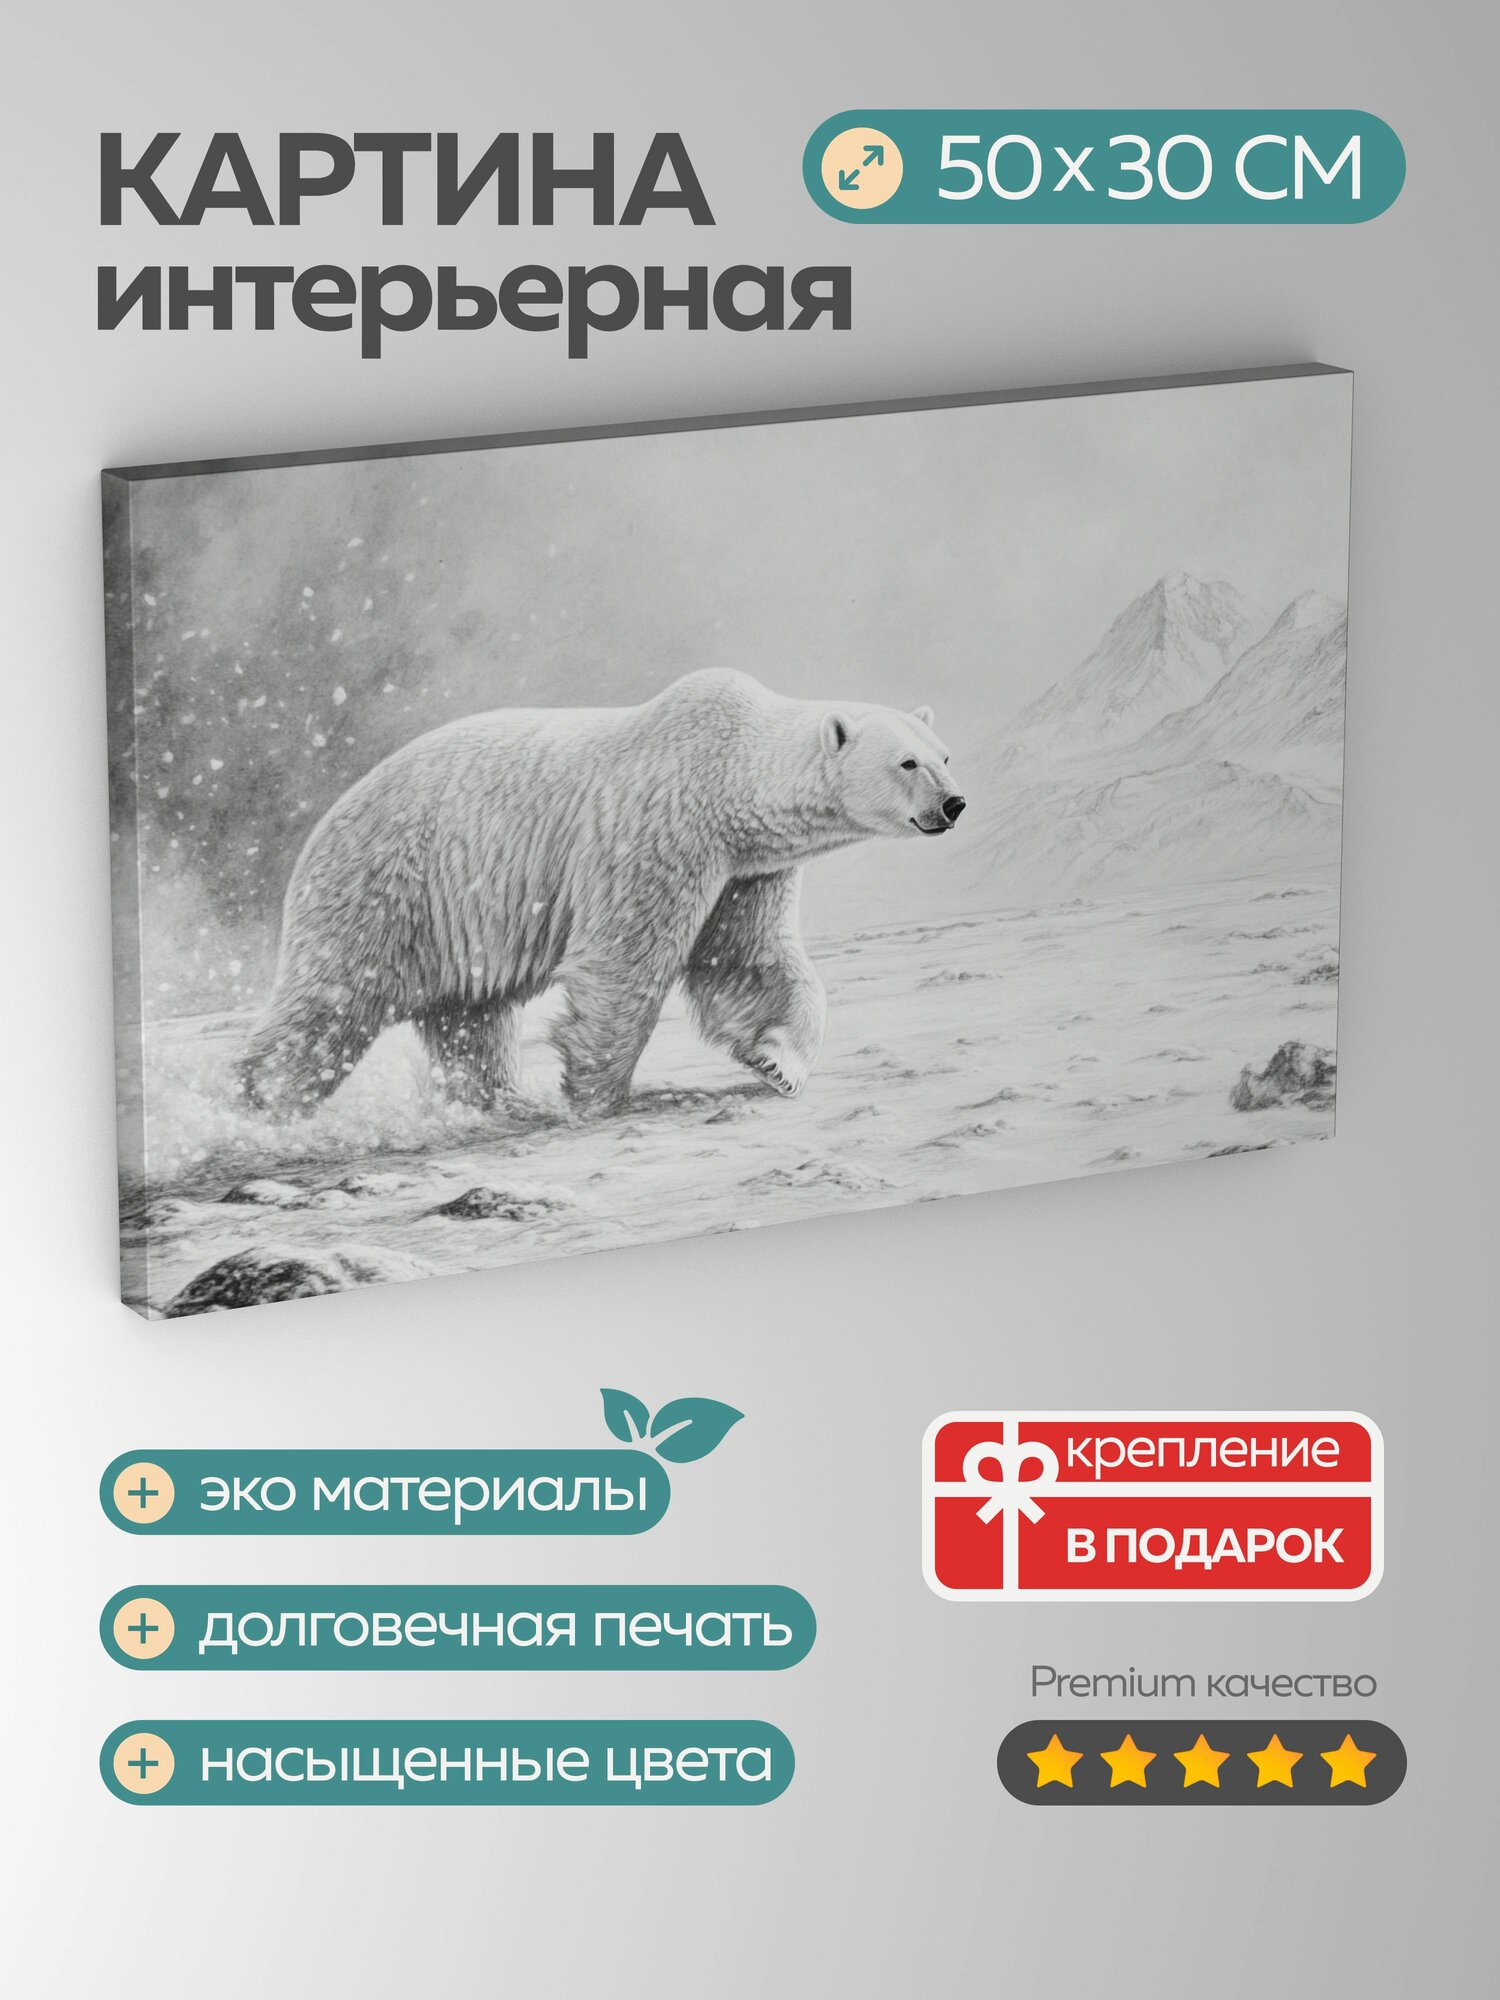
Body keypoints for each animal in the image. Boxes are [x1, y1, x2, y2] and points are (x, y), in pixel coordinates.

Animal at [238, 668, 965, 1119]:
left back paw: (502, 1100)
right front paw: (599, 1095)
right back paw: (258, 1102)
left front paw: (778, 1063)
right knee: (331, 1006)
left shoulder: (746, 871)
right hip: (389, 888)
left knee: (470, 1022)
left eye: (945, 753)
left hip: (457, 923)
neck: (728, 775)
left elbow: (749, 962)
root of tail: (323, 827)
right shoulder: (658, 831)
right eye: (907, 762)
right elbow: (624, 962)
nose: (954, 804)